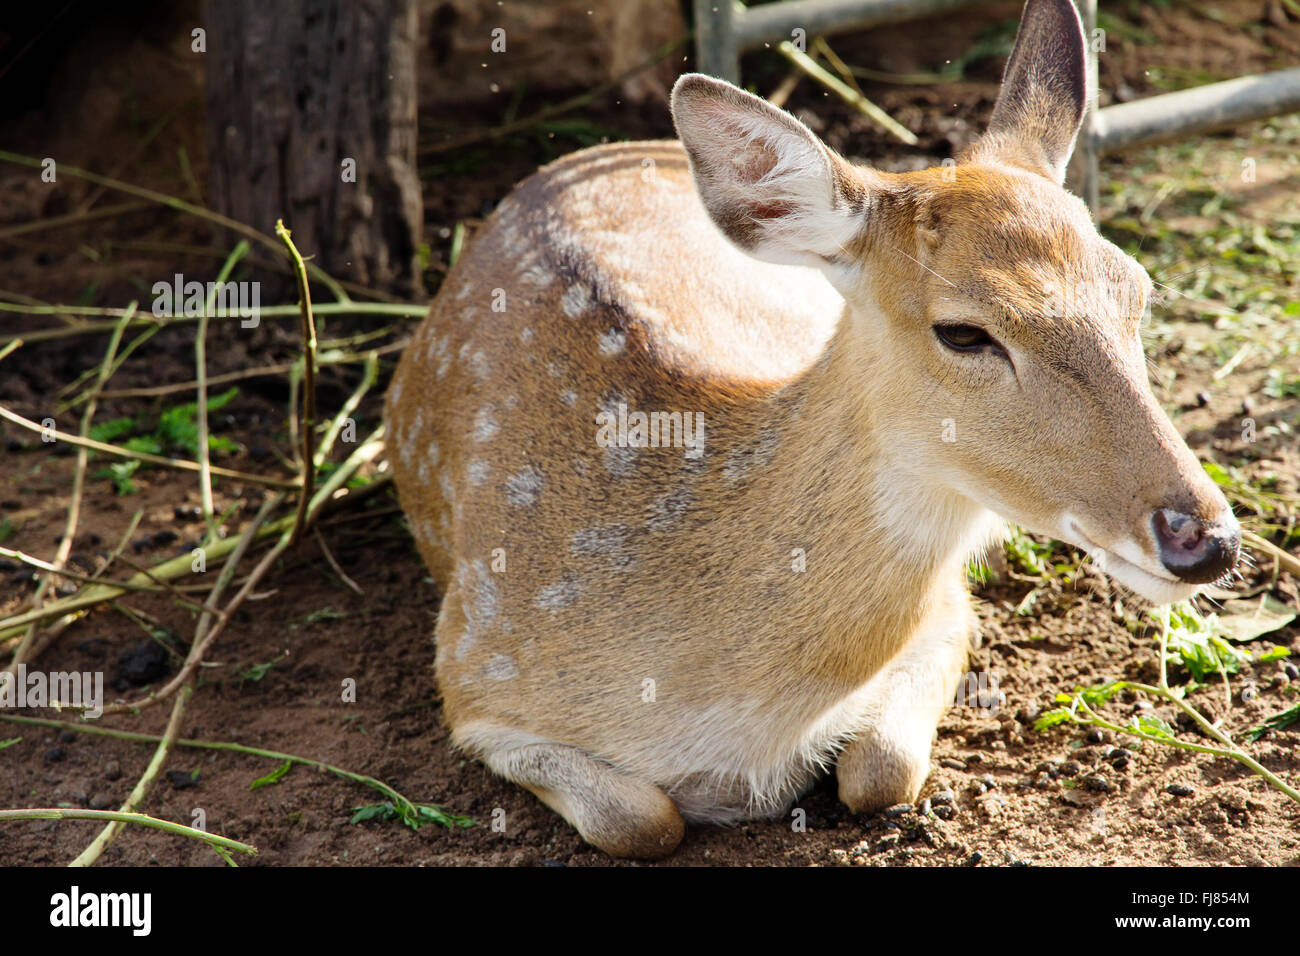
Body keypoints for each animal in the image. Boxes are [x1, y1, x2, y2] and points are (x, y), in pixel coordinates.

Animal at [384, 0, 1240, 858]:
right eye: (964, 332)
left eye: (1135, 289)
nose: (1204, 537)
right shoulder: (473, 666)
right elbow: (641, 820)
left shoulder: (949, 612)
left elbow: (883, 769)